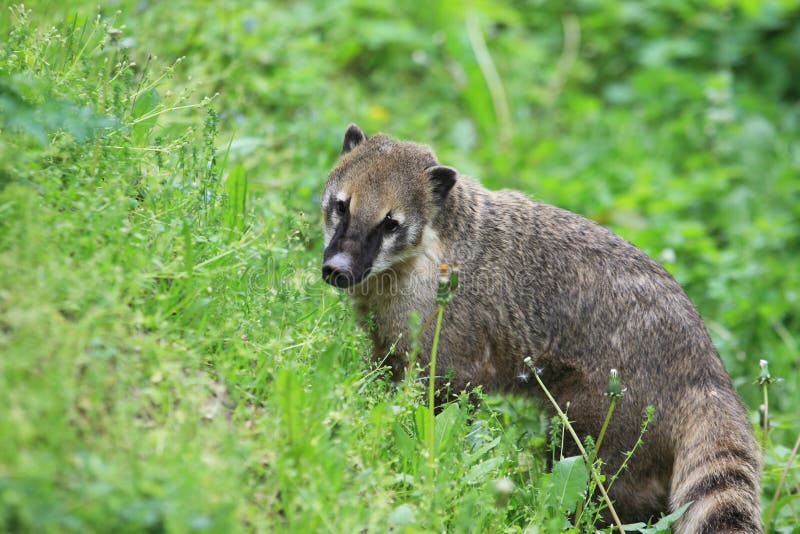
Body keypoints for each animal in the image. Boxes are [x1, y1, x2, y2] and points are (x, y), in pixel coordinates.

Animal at [321, 124, 762, 532]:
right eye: (341, 206)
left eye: (390, 224)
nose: (338, 270)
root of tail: (705, 372)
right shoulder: (386, 330)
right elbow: (383, 371)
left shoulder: (452, 329)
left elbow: (444, 397)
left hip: (611, 409)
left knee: (607, 478)